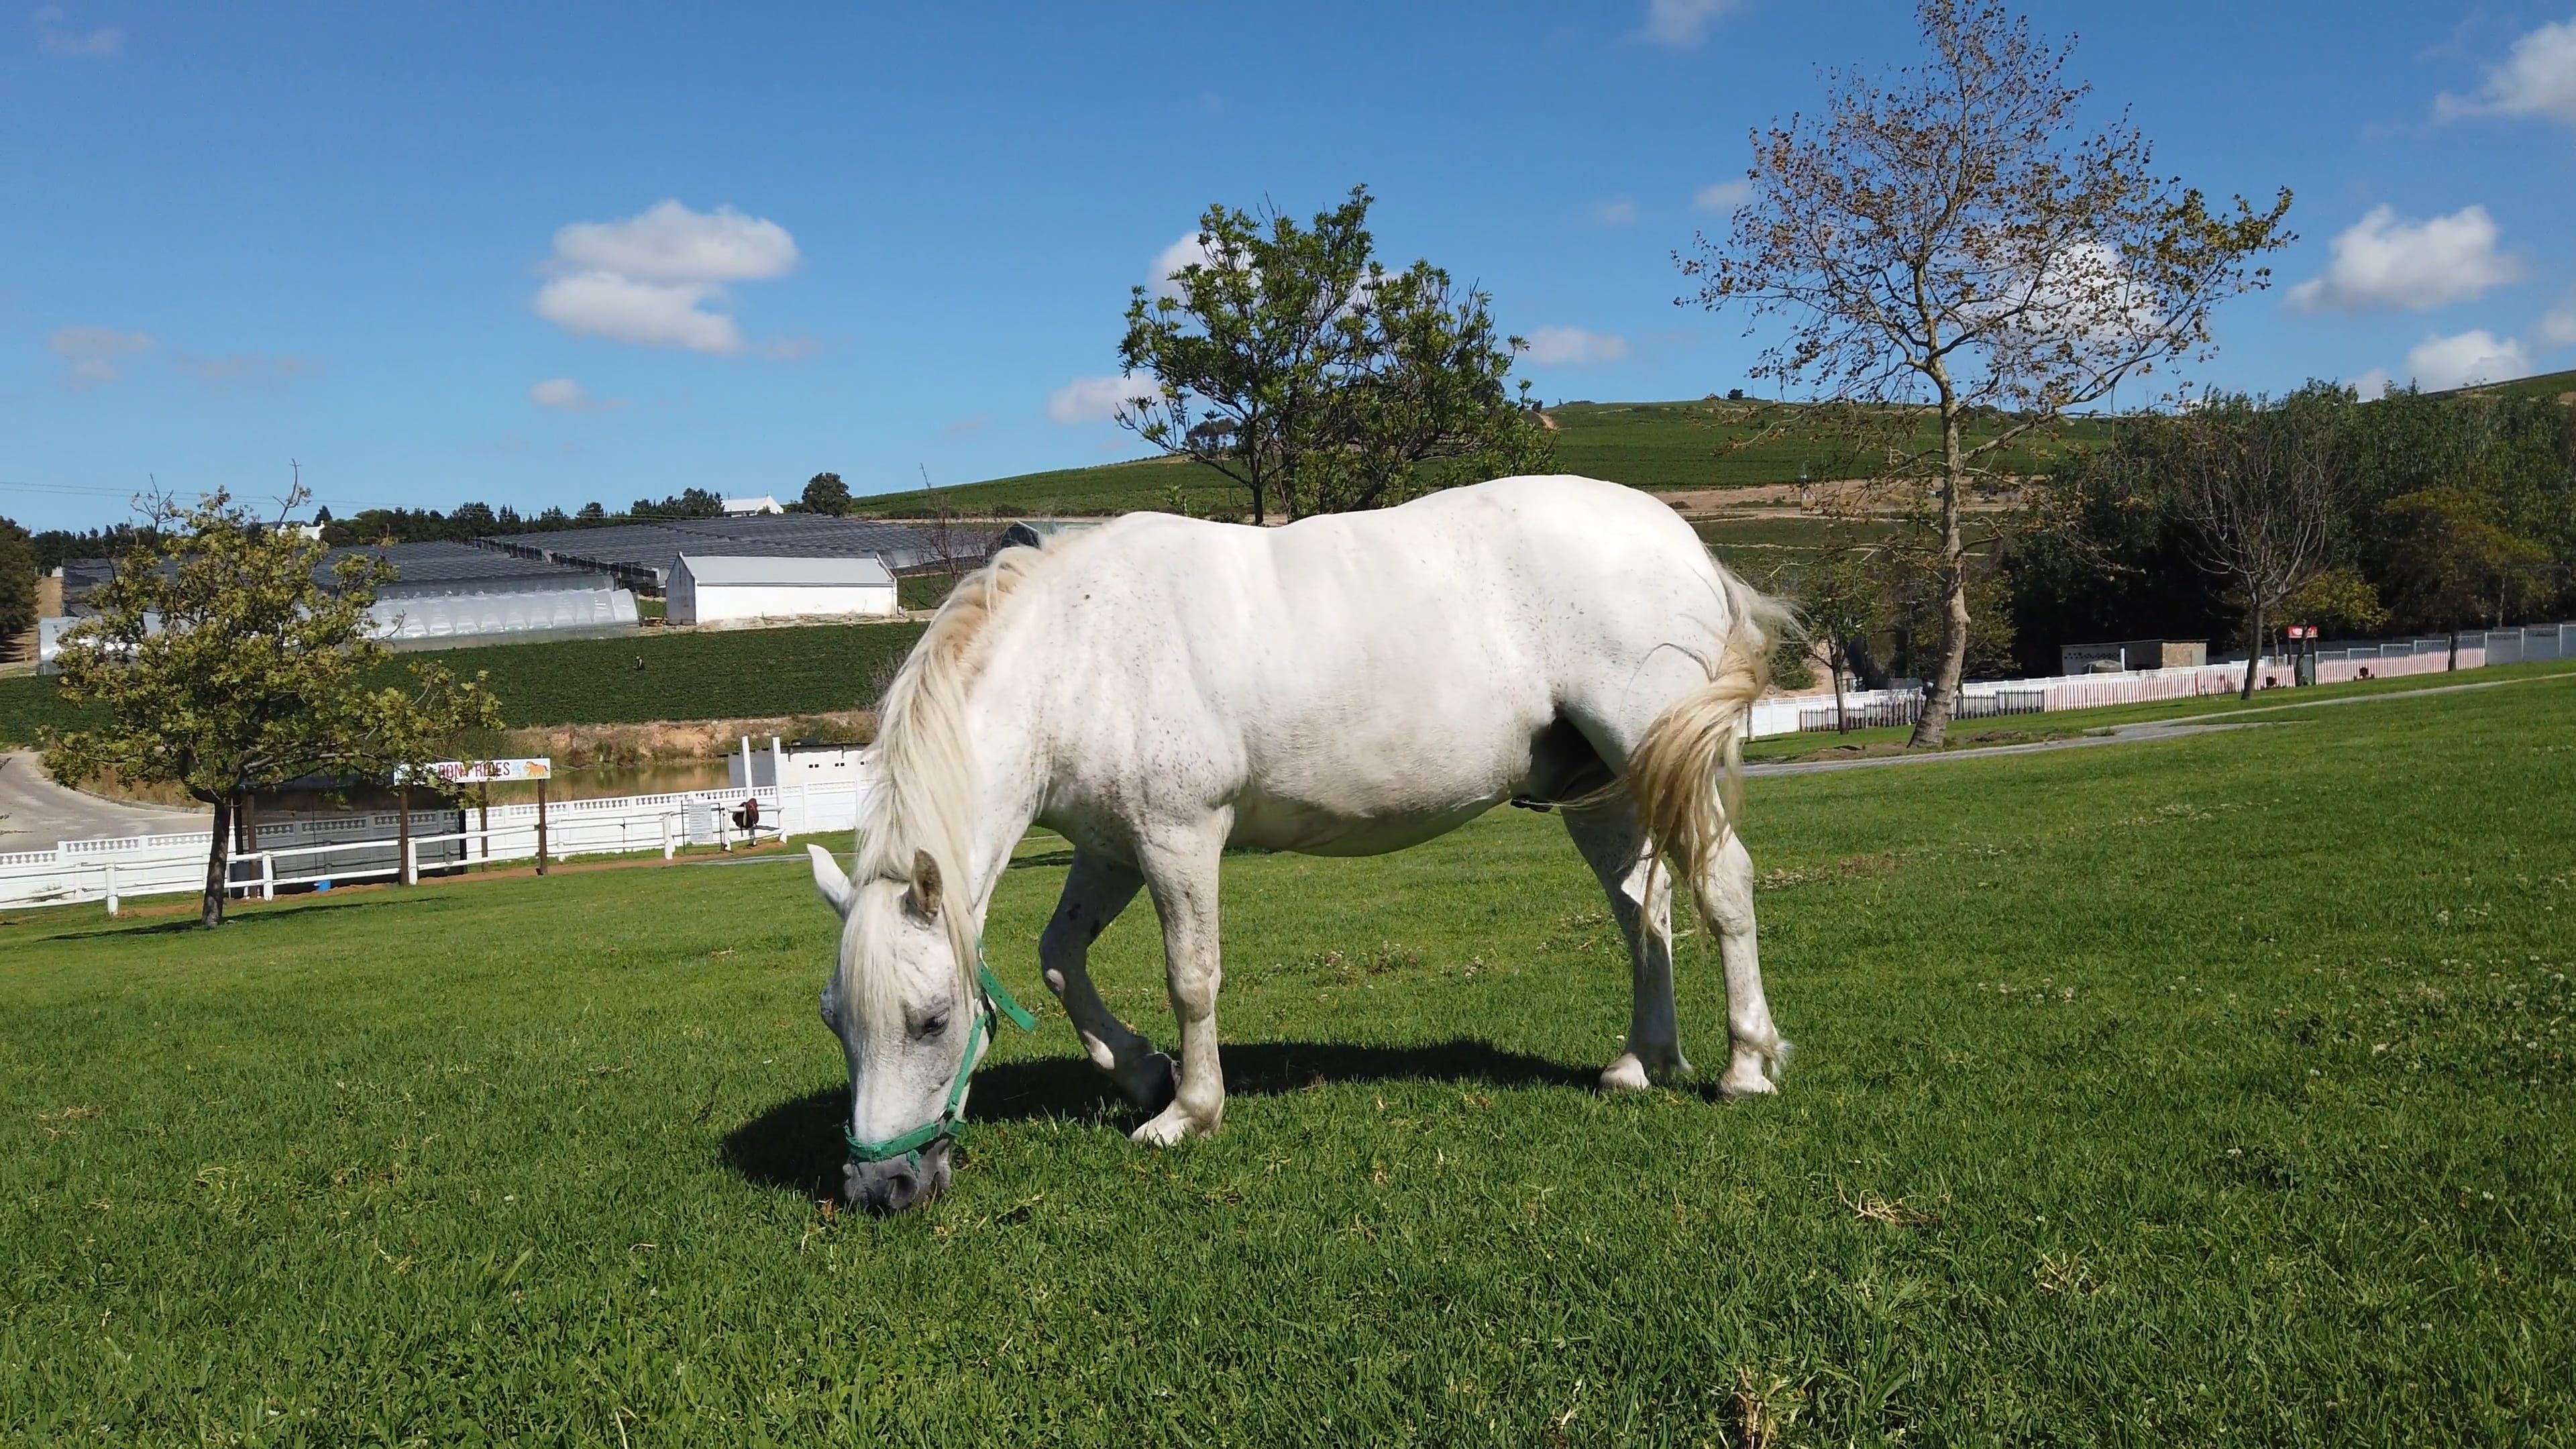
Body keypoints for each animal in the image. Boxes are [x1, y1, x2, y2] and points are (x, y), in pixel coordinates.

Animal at [806, 474, 1795, 1212]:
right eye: (833, 1022)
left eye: (932, 1021)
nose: (879, 1187)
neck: (1080, 653)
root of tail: (1681, 542)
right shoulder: (1112, 849)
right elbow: (1059, 959)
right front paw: (1141, 1072)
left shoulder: (1179, 838)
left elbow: (1191, 978)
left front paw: (1187, 1112)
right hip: (1601, 793)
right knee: (1641, 913)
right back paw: (1640, 1063)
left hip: (1660, 759)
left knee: (1723, 887)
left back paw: (1746, 1066)